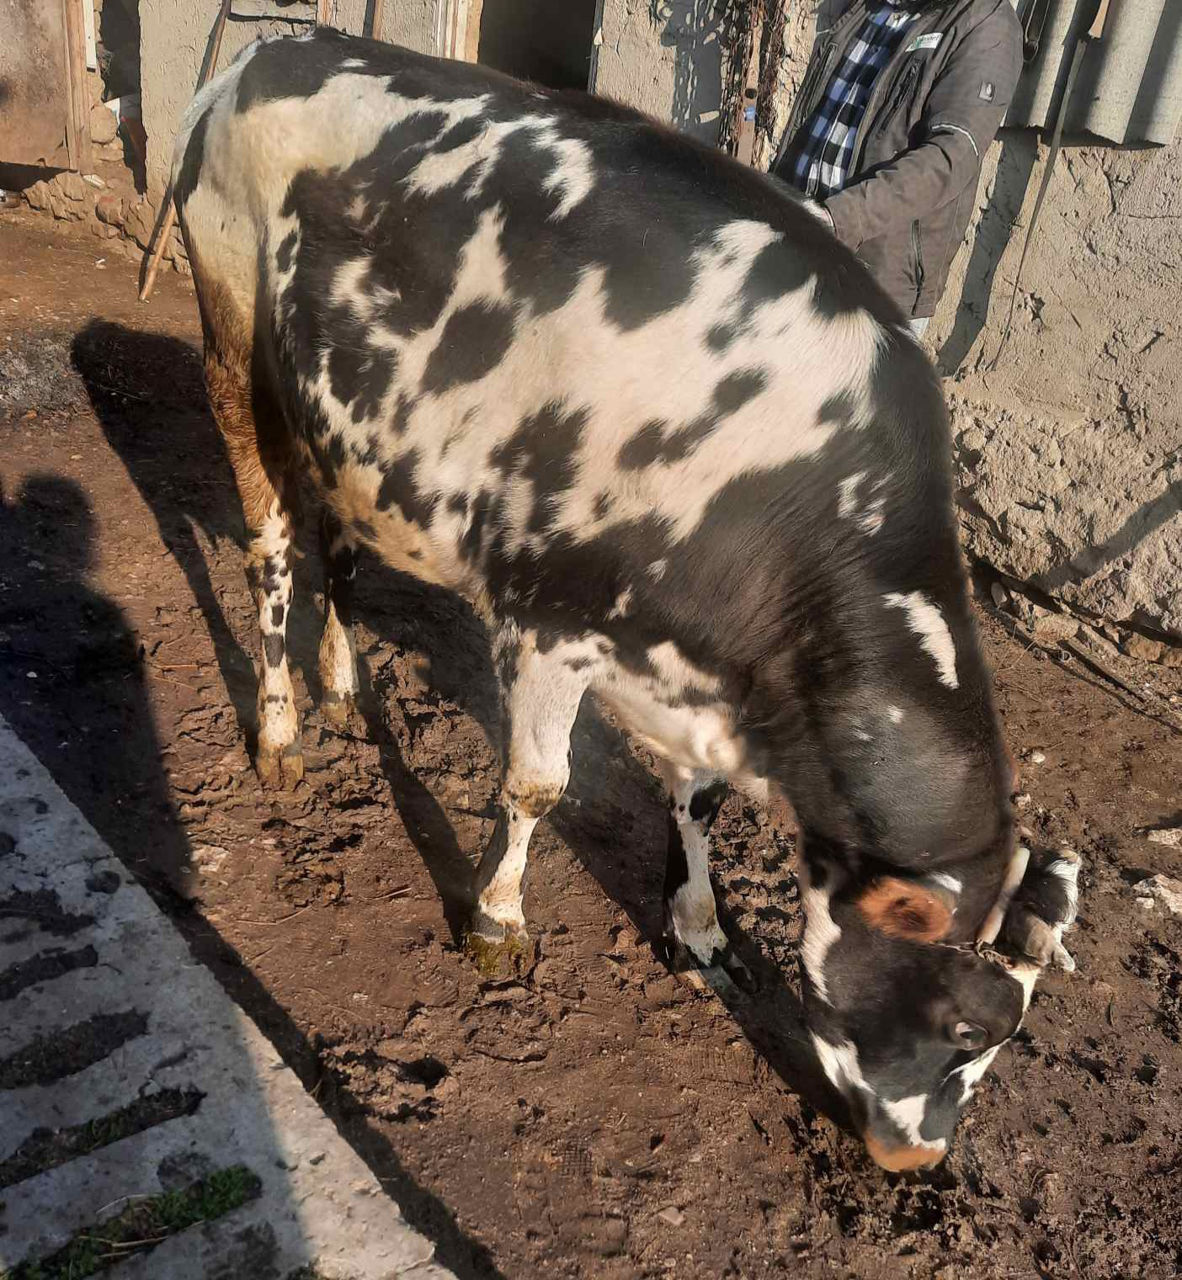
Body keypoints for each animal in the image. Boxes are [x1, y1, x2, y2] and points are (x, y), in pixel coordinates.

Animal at [169, 28, 1080, 1172]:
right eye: (961, 1024)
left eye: (1007, 1036)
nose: (921, 1158)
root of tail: (275, 44)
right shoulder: (549, 620)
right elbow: (536, 787)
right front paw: (498, 923)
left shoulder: (701, 676)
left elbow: (699, 804)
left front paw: (699, 927)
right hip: (235, 346)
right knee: (271, 549)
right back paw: (283, 732)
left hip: (352, 431)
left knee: (335, 554)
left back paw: (342, 688)